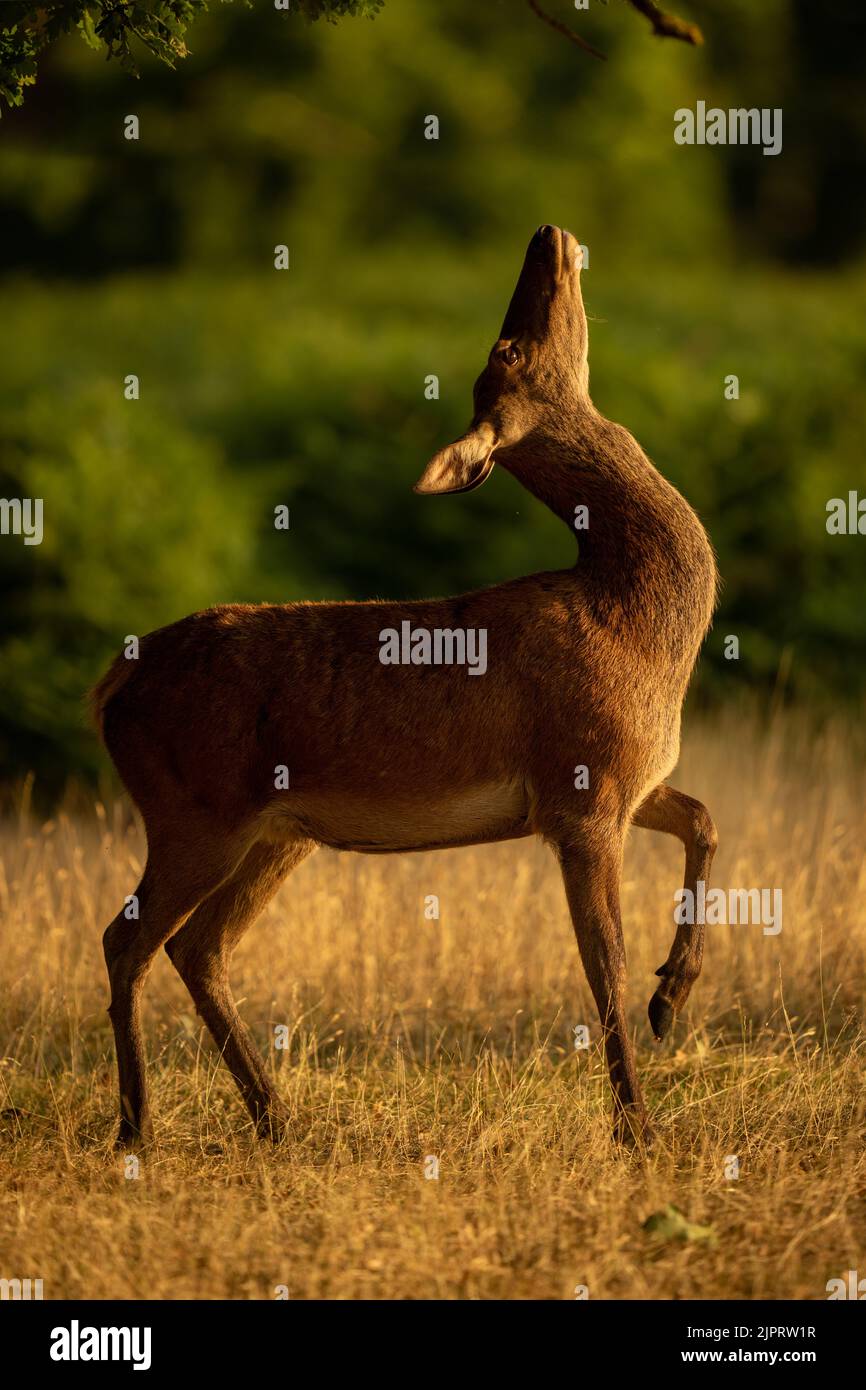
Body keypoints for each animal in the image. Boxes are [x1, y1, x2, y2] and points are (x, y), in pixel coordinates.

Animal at [92, 224, 718, 1150]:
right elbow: (601, 964)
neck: (636, 626)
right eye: (507, 350)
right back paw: (139, 1126)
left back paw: (274, 1115)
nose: (548, 234)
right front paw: (637, 1125)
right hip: (192, 810)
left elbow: (704, 819)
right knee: (126, 939)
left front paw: (672, 996)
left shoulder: (619, 781)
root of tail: (112, 685)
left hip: (277, 831)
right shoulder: (582, 789)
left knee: (196, 945)